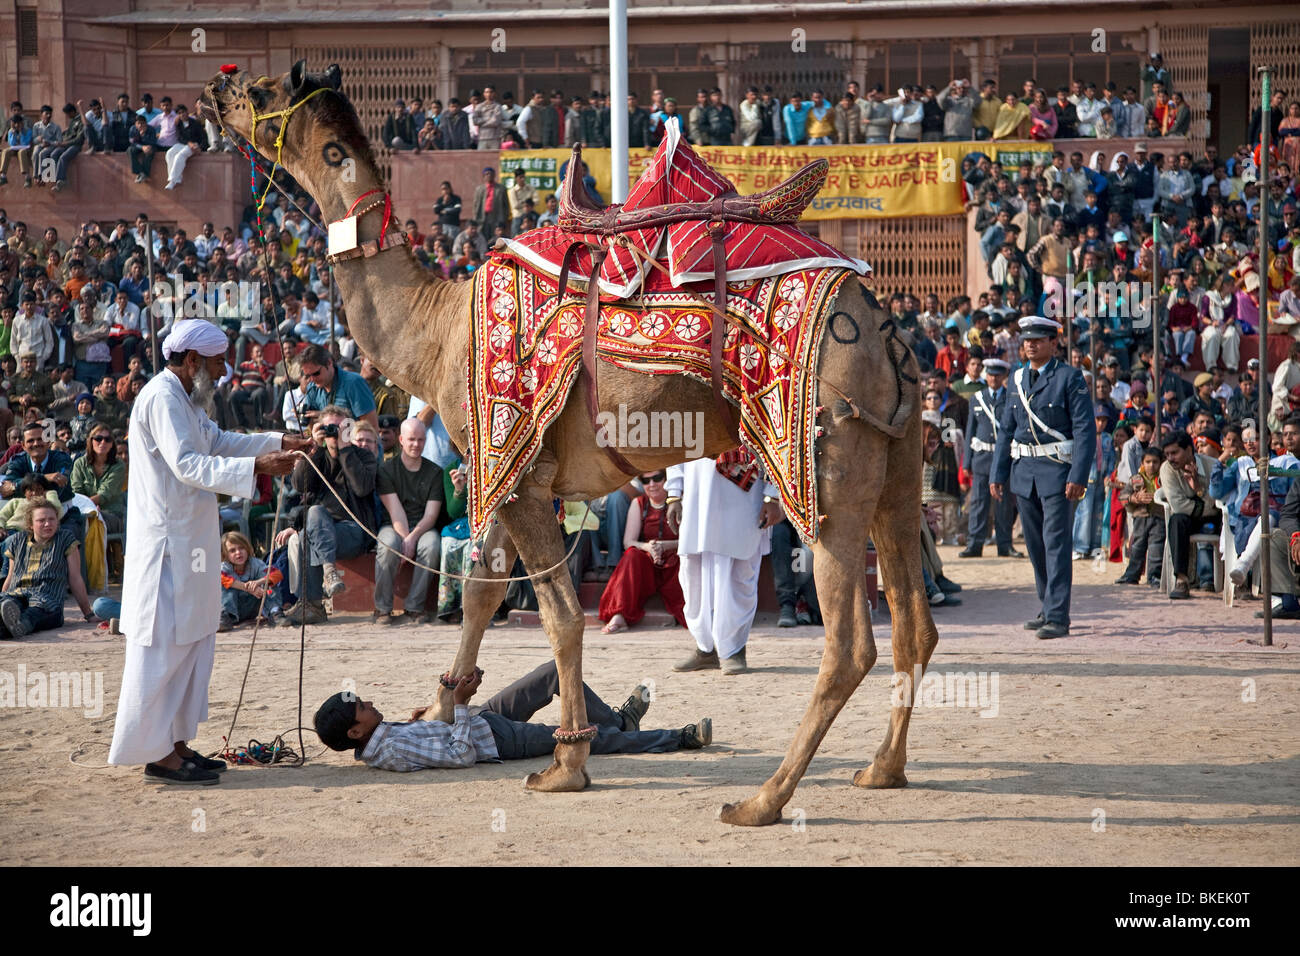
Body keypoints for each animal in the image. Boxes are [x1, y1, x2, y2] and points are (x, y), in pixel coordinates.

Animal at [201, 61, 939, 826]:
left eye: (261, 94)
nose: (216, 90)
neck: (436, 331)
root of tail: (881, 326)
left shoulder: (517, 467)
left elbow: (558, 617)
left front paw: (566, 765)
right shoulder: (504, 466)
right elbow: (482, 593)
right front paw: (440, 709)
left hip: (825, 455)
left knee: (848, 642)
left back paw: (762, 800)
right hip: (896, 466)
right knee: (914, 620)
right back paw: (881, 770)